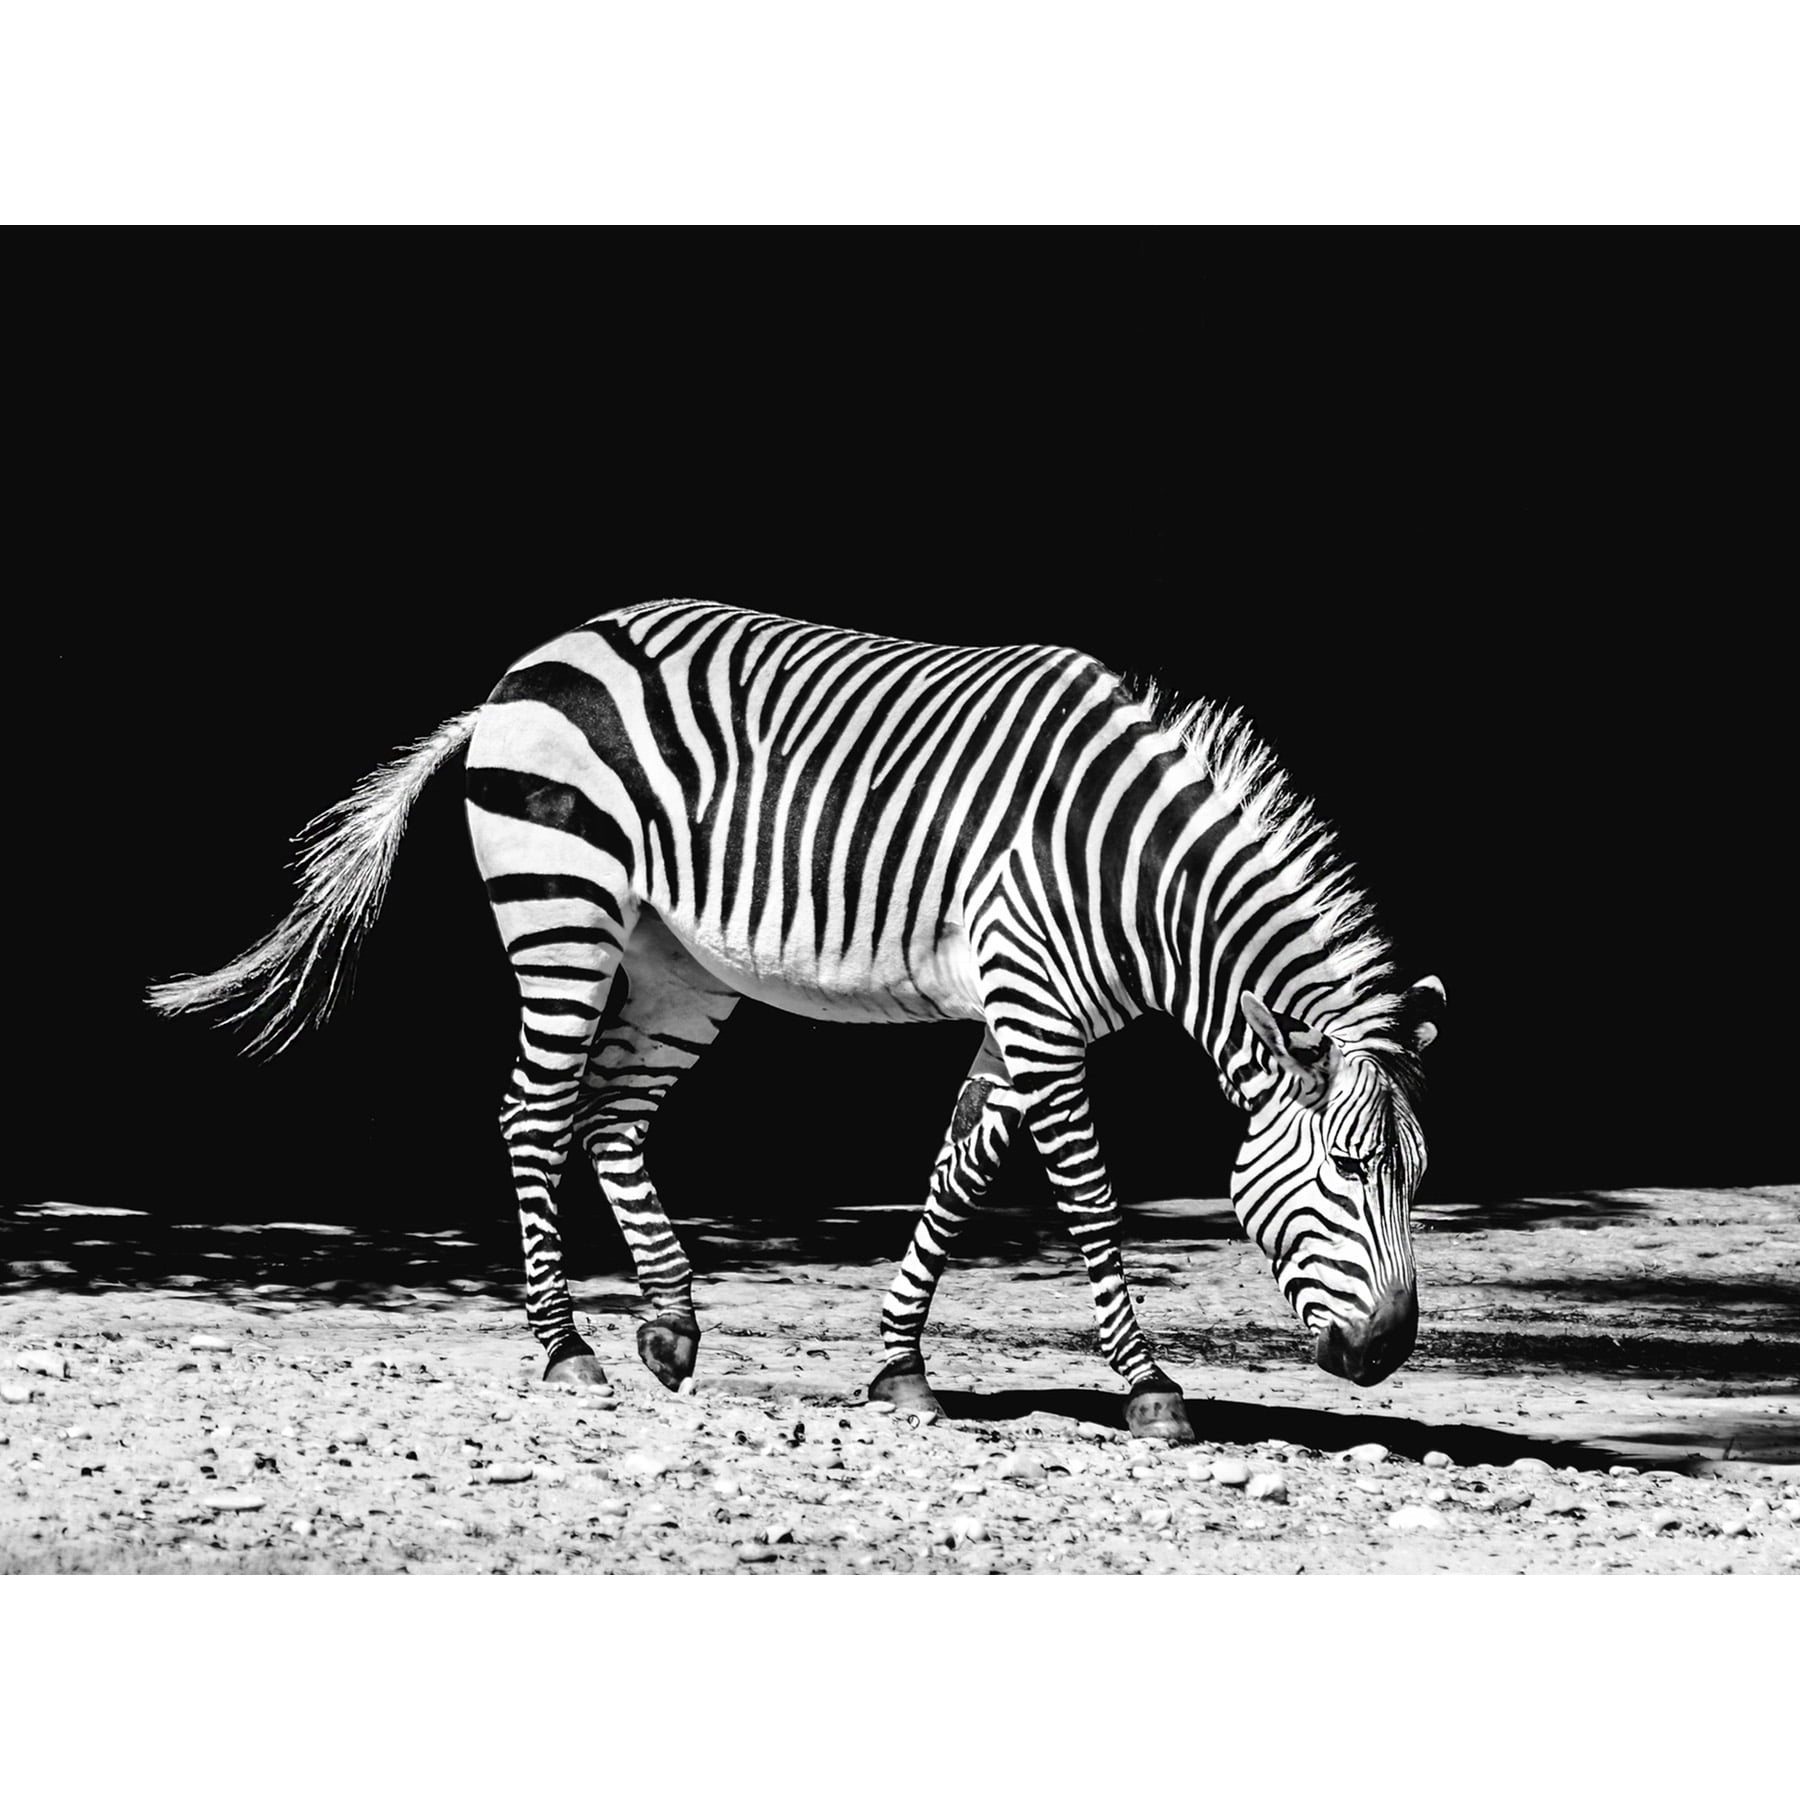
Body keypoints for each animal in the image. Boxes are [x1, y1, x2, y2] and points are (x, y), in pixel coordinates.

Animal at [148, 599, 1444, 1442]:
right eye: (1344, 1171)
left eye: (1416, 1178)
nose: (1388, 1356)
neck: (1134, 875)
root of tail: (534, 660)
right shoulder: (1035, 1004)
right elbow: (1084, 1195)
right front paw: (1149, 1388)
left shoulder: (1024, 1012)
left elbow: (959, 1173)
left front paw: (899, 1367)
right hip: (562, 907)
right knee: (533, 1110)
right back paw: (564, 1347)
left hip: (678, 958)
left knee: (611, 1120)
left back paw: (669, 1329)